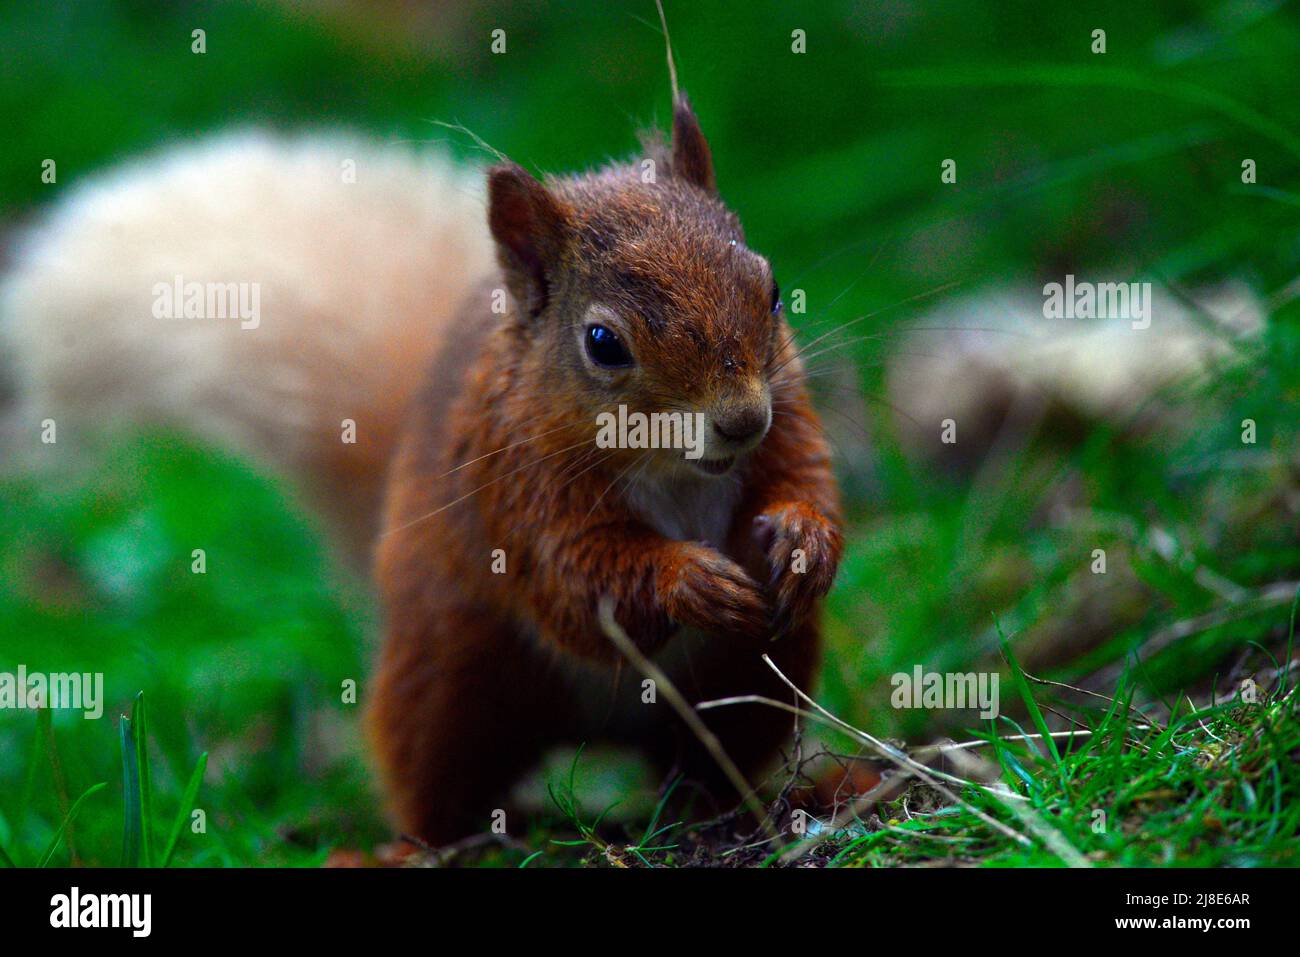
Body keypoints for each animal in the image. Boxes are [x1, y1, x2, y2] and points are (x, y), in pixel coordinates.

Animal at [1, 98, 842, 845]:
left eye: (770, 289)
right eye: (604, 343)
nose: (741, 419)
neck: (672, 470)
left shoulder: (792, 420)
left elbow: (807, 480)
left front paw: (804, 542)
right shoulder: (518, 491)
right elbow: (580, 580)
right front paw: (689, 580)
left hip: (752, 677)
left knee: (705, 762)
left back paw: (756, 803)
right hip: (446, 681)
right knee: (437, 785)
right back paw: (425, 842)